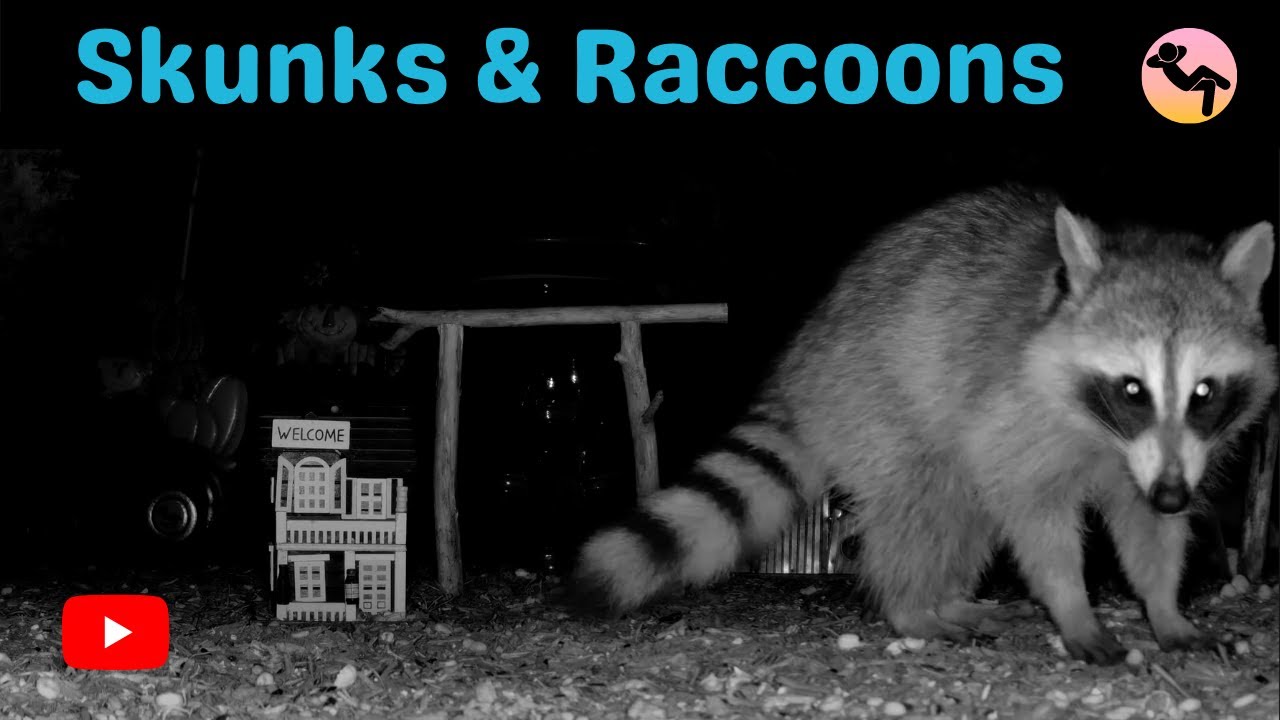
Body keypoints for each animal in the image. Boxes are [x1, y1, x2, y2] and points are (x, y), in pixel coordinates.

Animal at [571, 184, 1278, 665]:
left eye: (1204, 392)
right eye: (1133, 388)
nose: (1173, 495)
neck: (1109, 437)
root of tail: (800, 366)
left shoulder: (1166, 457)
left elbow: (1147, 527)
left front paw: (1164, 607)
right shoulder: (1017, 410)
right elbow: (1038, 517)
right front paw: (1073, 605)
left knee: (967, 511)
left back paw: (949, 596)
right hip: (877, 395)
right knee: (924, 499)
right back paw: (913, 608)